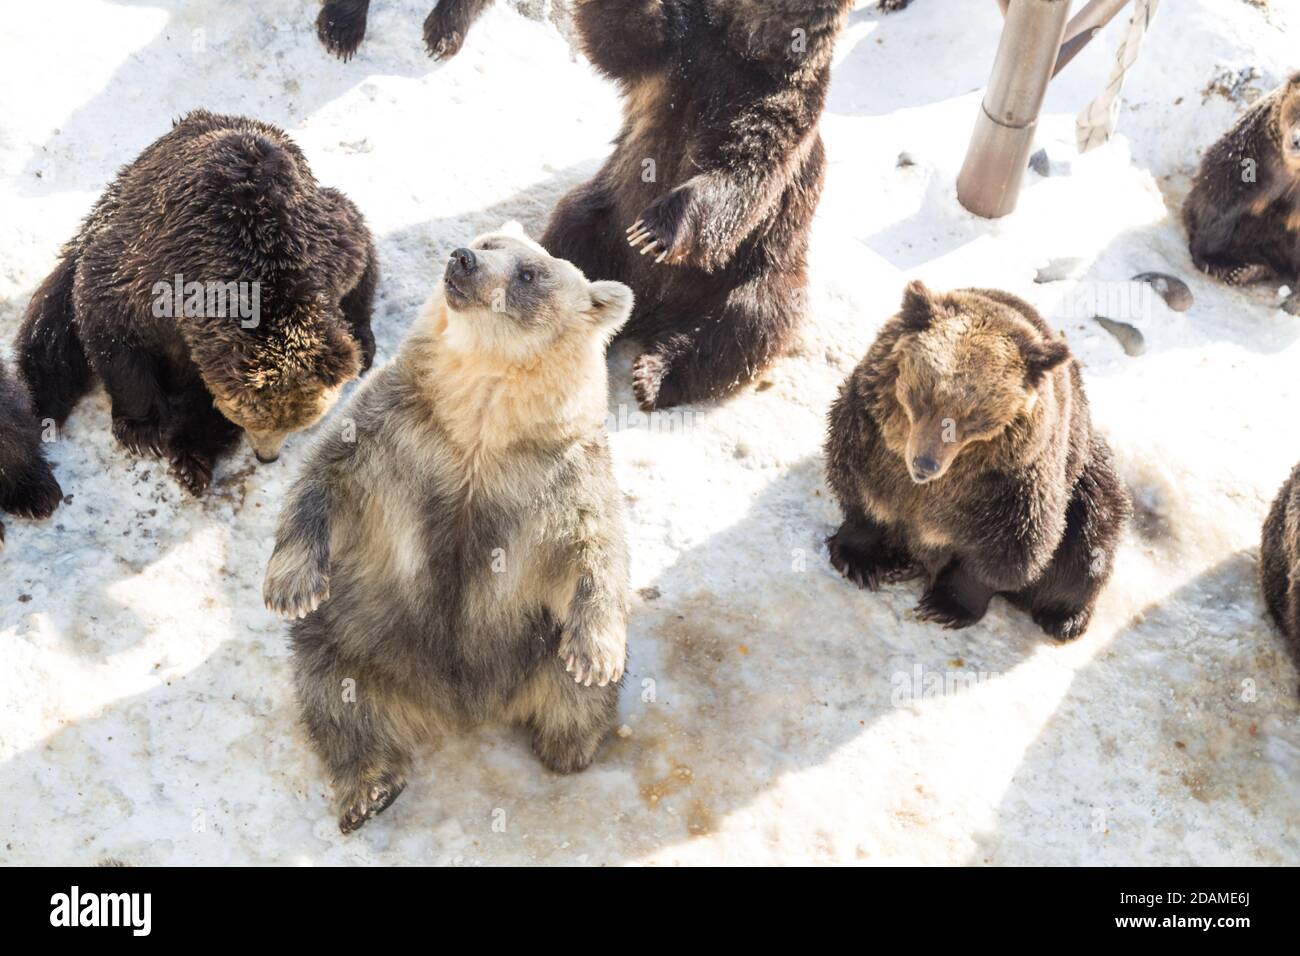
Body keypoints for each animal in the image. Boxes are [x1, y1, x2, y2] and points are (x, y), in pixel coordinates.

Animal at [15, 110, 377, 496]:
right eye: (253, 420)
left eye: (295, 424)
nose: (266, 456)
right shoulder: (153, 272)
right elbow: (107, 318)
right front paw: (144, 429)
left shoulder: (329, 250)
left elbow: (359, 245)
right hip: (104, 223)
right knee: (49, 338)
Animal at [263, 224, 633, 833]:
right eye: (487, 241)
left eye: (530, 272)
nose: (462, 260)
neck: (481, 419)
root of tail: (457, 705)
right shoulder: (396, 433)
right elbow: (324, 480)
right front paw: (291, 586)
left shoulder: (558, 473)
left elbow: (594, 547)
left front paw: (592, 656)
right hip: (363, 634)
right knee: (332, 689)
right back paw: (369, 789)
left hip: (532, 645)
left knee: (570, 693)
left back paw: (570, 746)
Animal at [540, 0, 853, 410]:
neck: (741, 44)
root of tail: (649, 310)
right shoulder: (679, 53)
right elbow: (620, 37)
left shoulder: (782, 98)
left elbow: (741, 169)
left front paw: (654, 231)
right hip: (606, 221)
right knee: (572, 238)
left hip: (758, 266)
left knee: (749, 320)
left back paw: (655, 375)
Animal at [824, 281, 1131, 641]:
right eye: (925, 394)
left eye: (973, 415)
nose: (924, 464)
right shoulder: (870, 437)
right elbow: (860, 491)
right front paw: (861, 560)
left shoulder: (1010, 485)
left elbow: (1005, 551)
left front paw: (946, 605)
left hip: (1085, 476)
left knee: (1091, 539)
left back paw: (1065, 618)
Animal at [1183, 72, 1300, 308]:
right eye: (1298, 107)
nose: (1297, 142)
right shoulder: (1256, 158)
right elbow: (1222, 199)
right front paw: (1216, 261)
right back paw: (1248, 269)